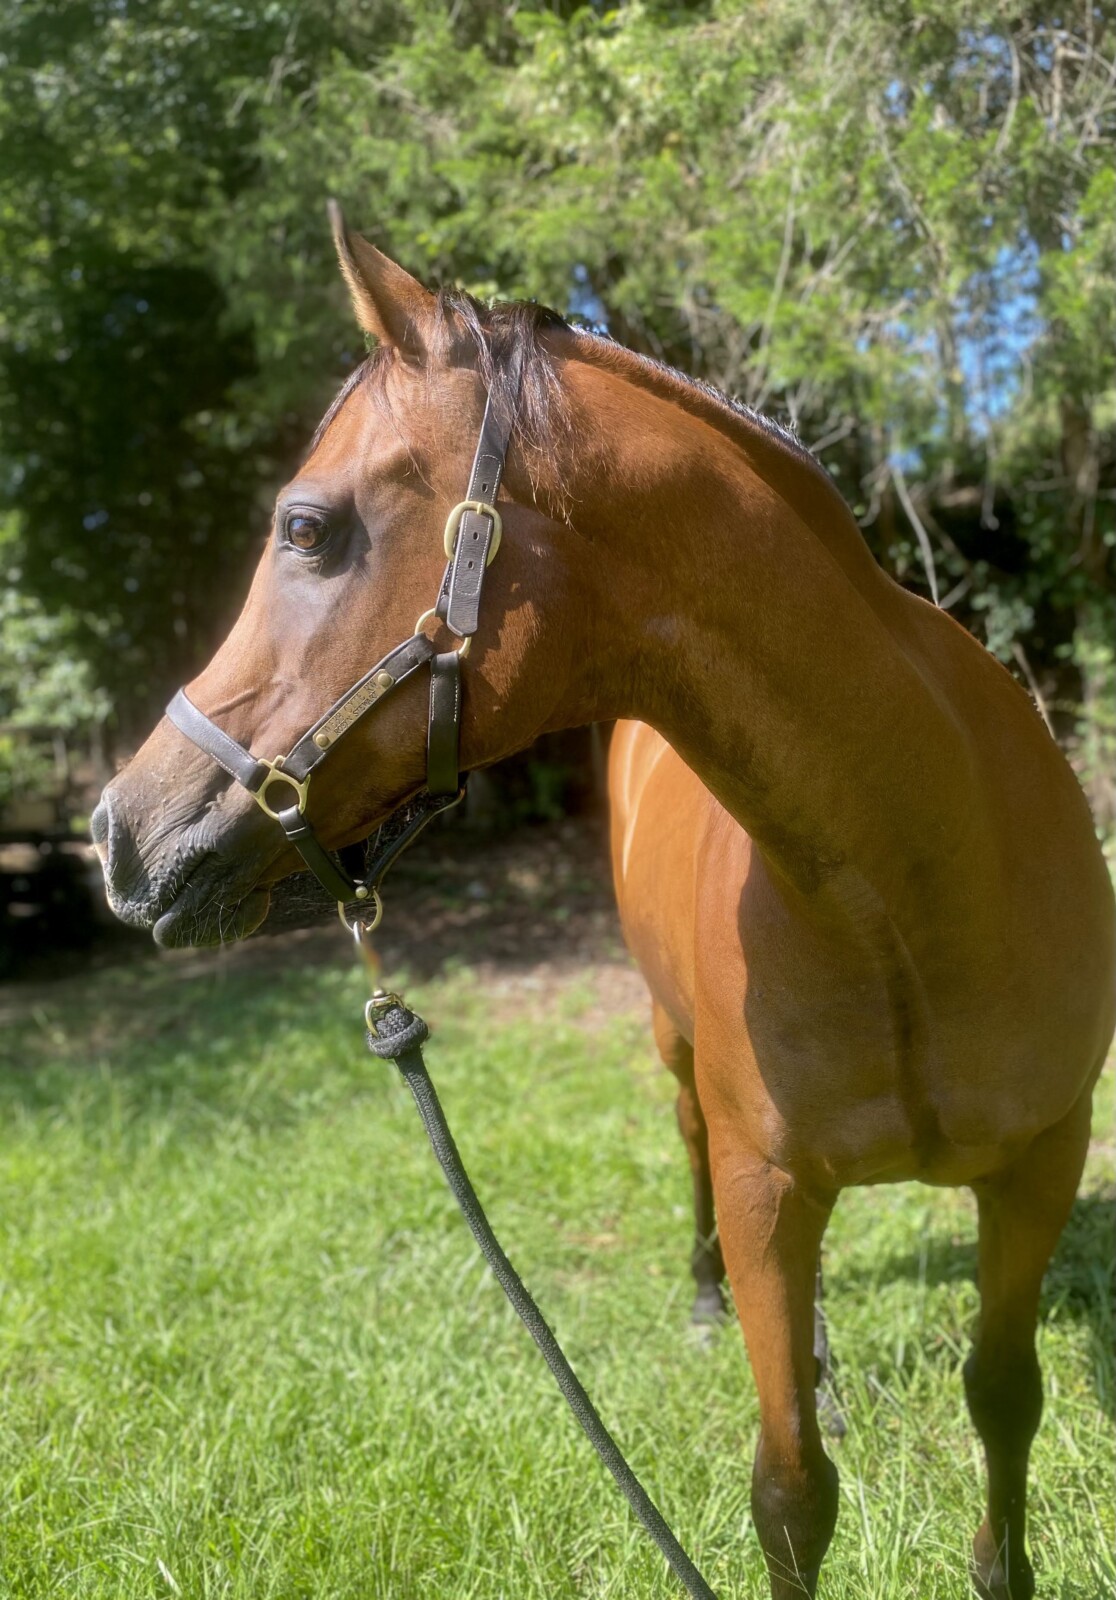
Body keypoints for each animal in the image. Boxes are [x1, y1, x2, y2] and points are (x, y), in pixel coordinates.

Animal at [93, 212, 1115, 1600]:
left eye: (306, 528)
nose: (120, 834)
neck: (908, 881)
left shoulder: (1040, 1167)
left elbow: (1003, 1399)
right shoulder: (763, 1184)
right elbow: (791, 1489)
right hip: (680, 1059)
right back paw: (711, 1302)